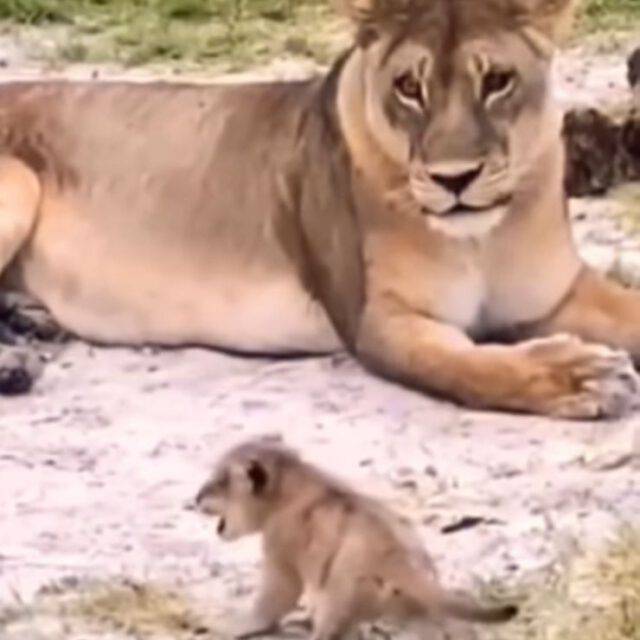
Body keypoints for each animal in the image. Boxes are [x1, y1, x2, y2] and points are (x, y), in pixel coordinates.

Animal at [1, 0, 640, 417]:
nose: (453, 179)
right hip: (19, 182)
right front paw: (584, 376)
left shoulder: (557, 294)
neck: (482, 238)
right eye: (409, 87)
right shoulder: (379, 323)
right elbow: (475, 369)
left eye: (498, 80)